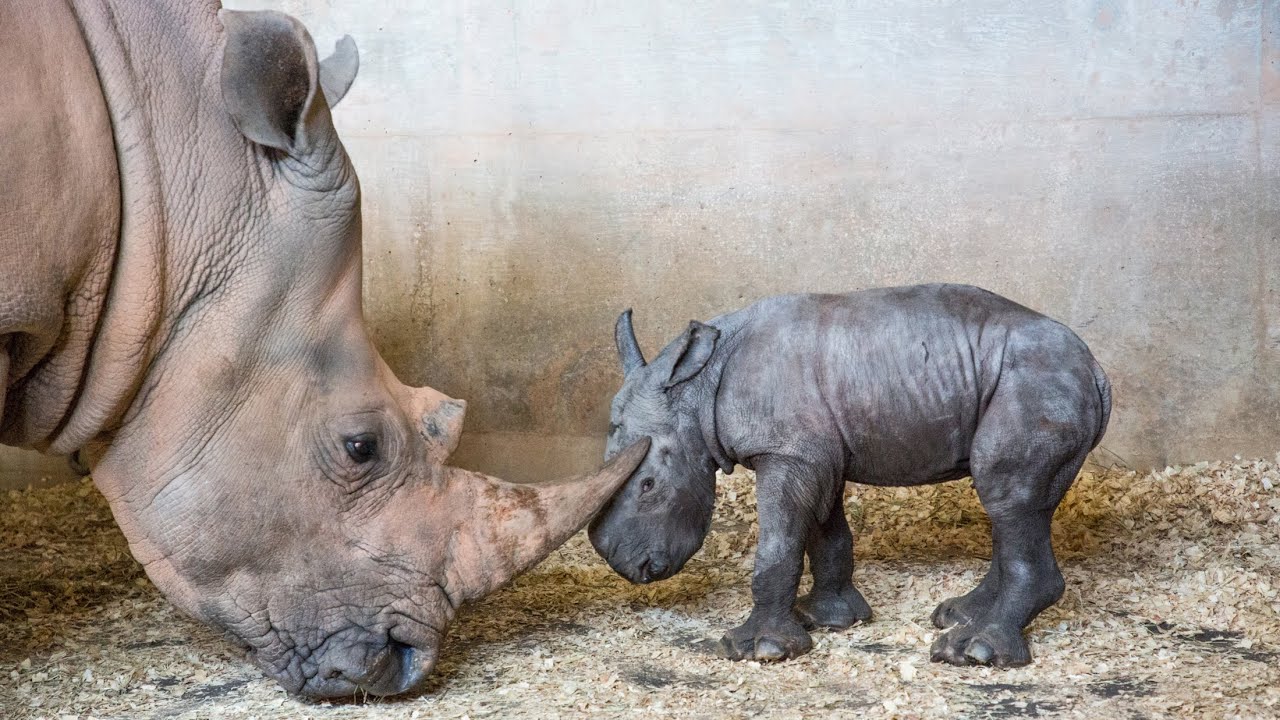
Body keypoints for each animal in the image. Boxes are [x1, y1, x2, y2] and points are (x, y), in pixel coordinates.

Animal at [590, 284, 1111, 667]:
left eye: (649, 486)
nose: (627, 566)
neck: (697, 388)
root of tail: (1095, 368)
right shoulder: (815, 454)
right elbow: (826, 532)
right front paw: (828, 618)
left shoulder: (787, 452)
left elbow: (778, 546)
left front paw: (759, 649)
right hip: (1041, 383)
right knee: (1017, 507)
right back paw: (959, 616)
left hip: (1038, 384)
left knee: (1007, 493)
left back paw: (973, 650)